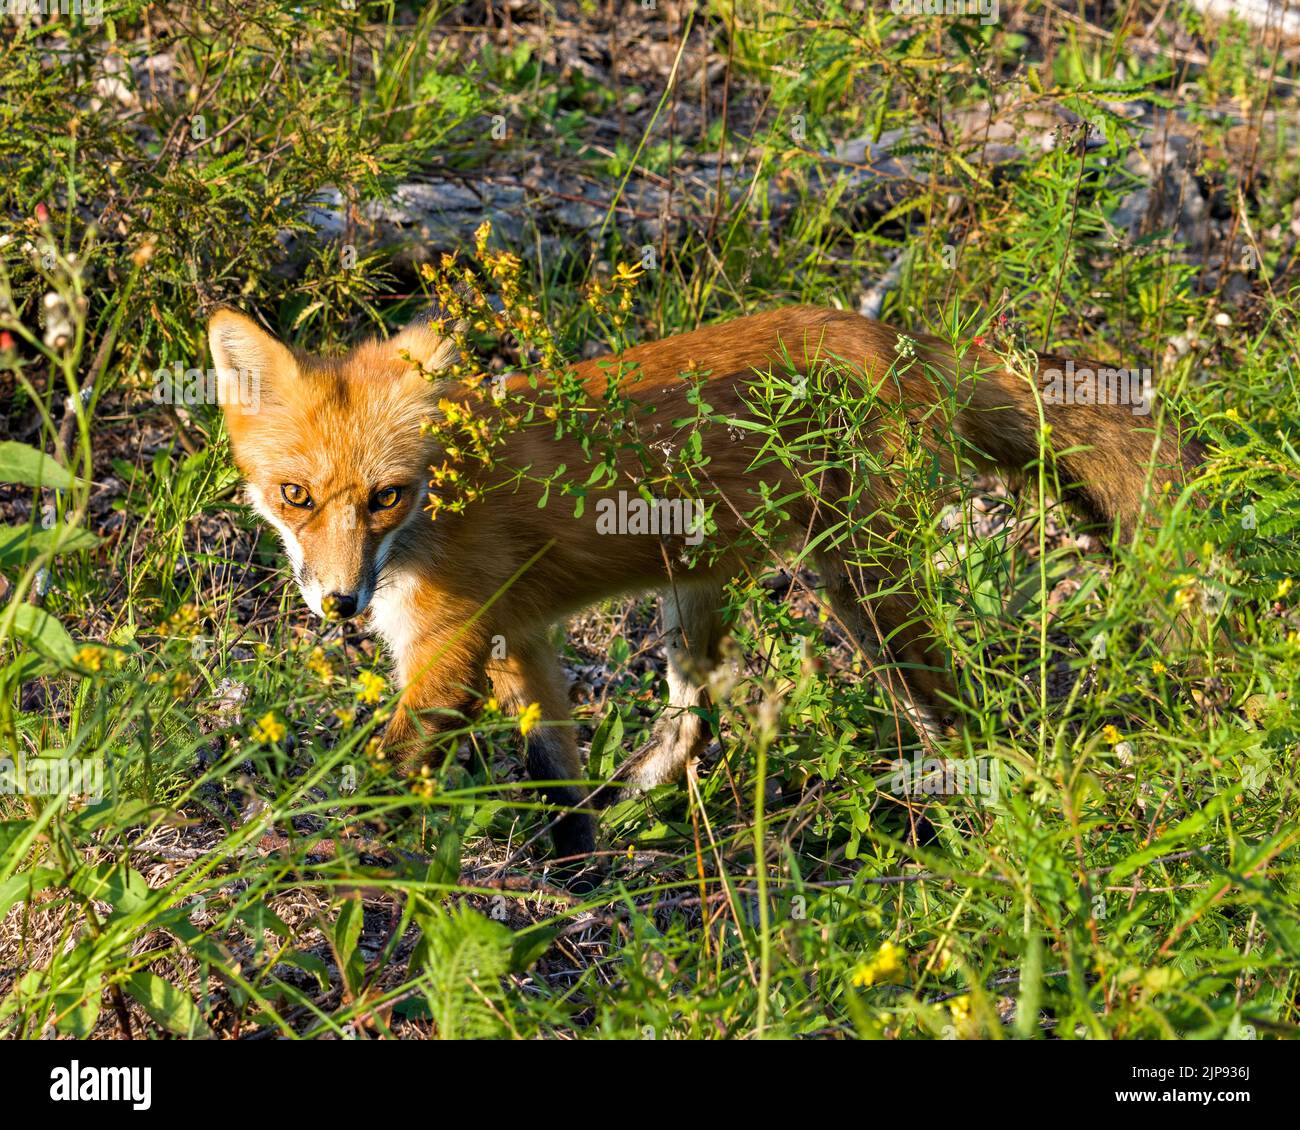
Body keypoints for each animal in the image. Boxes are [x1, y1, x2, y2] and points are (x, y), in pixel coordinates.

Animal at [210, 304, 1202, 864]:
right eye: (296, 497)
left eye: (385, 496)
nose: (340, 604)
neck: (441, 503)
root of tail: (901, 338)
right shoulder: (521, 637)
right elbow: (555, 775)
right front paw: (575, 873)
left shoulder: (451, 650)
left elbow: (378, 771)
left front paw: (305, 843)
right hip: (701, 593)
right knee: (697, 721)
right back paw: (635, 799)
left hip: (864, 586)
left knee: (951, 711)